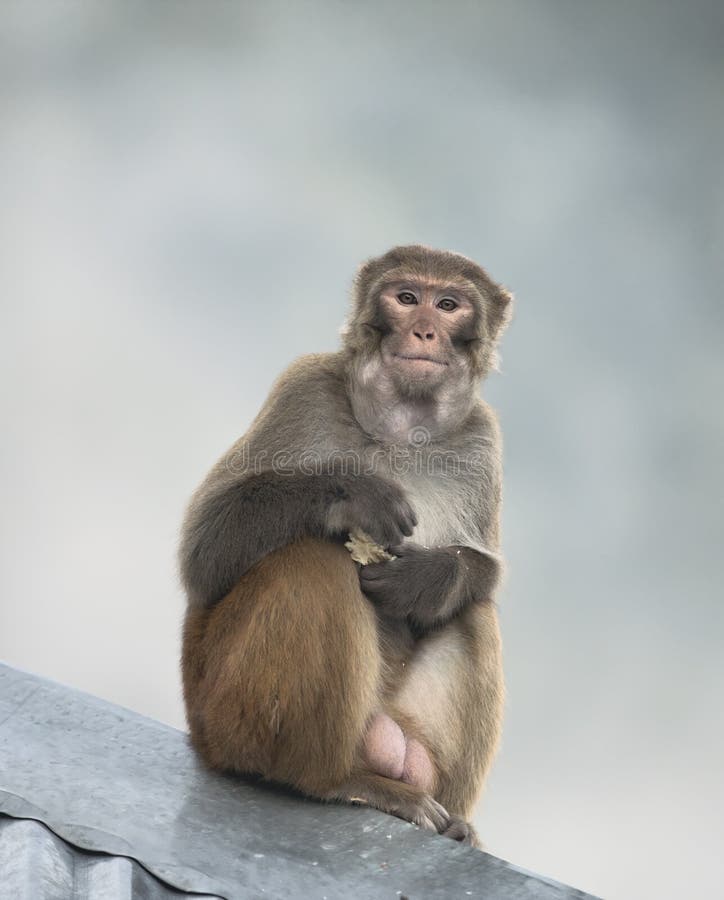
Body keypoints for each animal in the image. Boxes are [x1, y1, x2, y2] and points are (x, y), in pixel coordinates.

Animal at [180, 244, 512, 845]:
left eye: (448, 305)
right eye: (406, 297)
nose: (425, 331)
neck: (400, 432)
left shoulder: (481, 437)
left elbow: (482, 569)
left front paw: (427, 580)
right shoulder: (304, 387)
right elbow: (206, 550)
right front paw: (354, 492)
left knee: (475, 610)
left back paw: (454, 823)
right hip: (222, 713)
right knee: (313, 559)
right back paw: (328, 780)